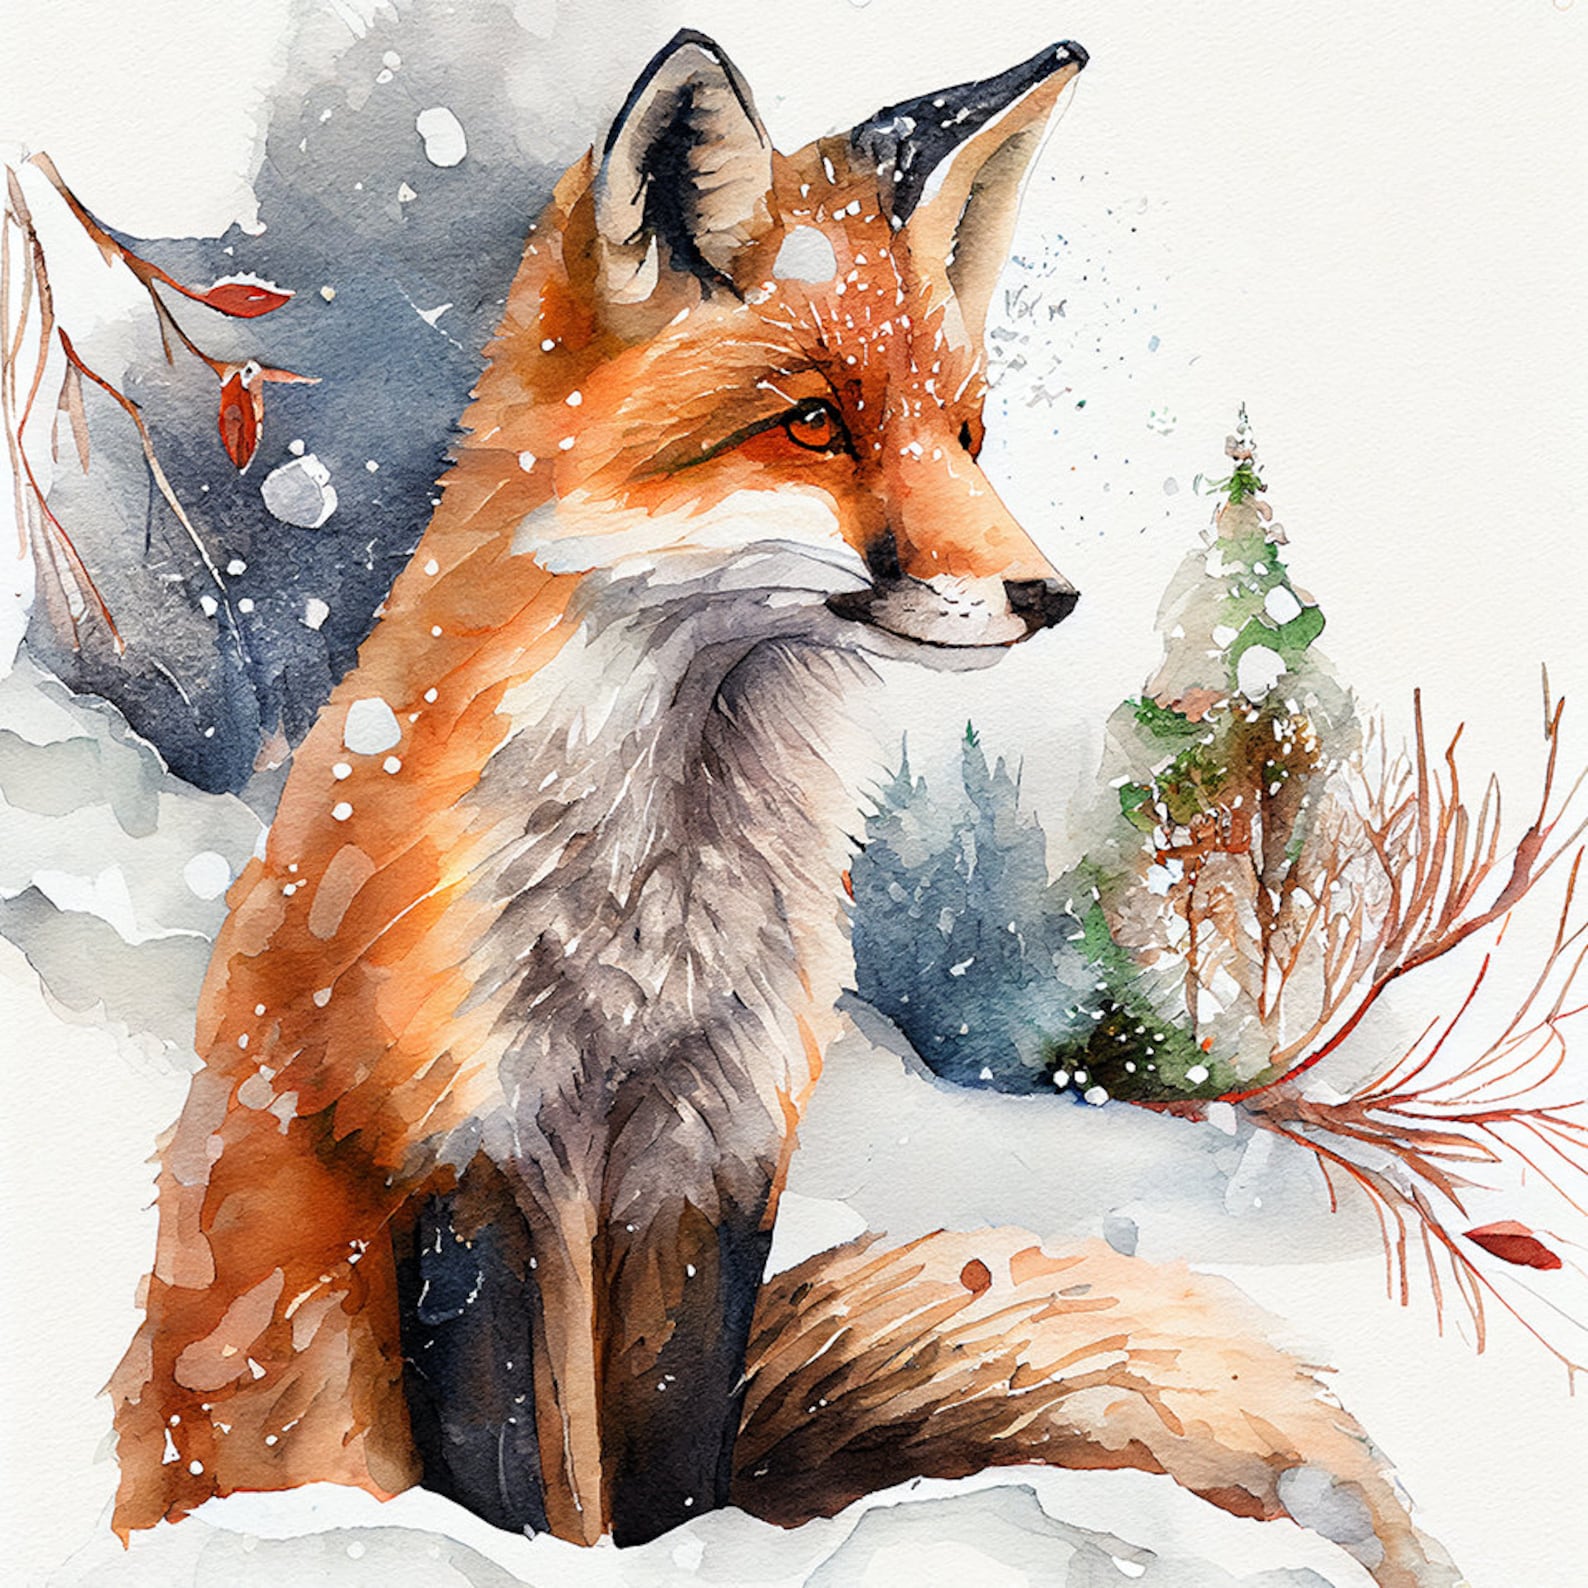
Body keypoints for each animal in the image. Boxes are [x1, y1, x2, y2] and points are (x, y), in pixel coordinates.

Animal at [109, 30, 1463, 1585]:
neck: (659, 881)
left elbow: (671, 1464)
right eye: (815, 421)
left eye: (966, 433)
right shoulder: (465, 1132)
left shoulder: (714, 1138)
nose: (1049, 594)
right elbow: (513, 1478)